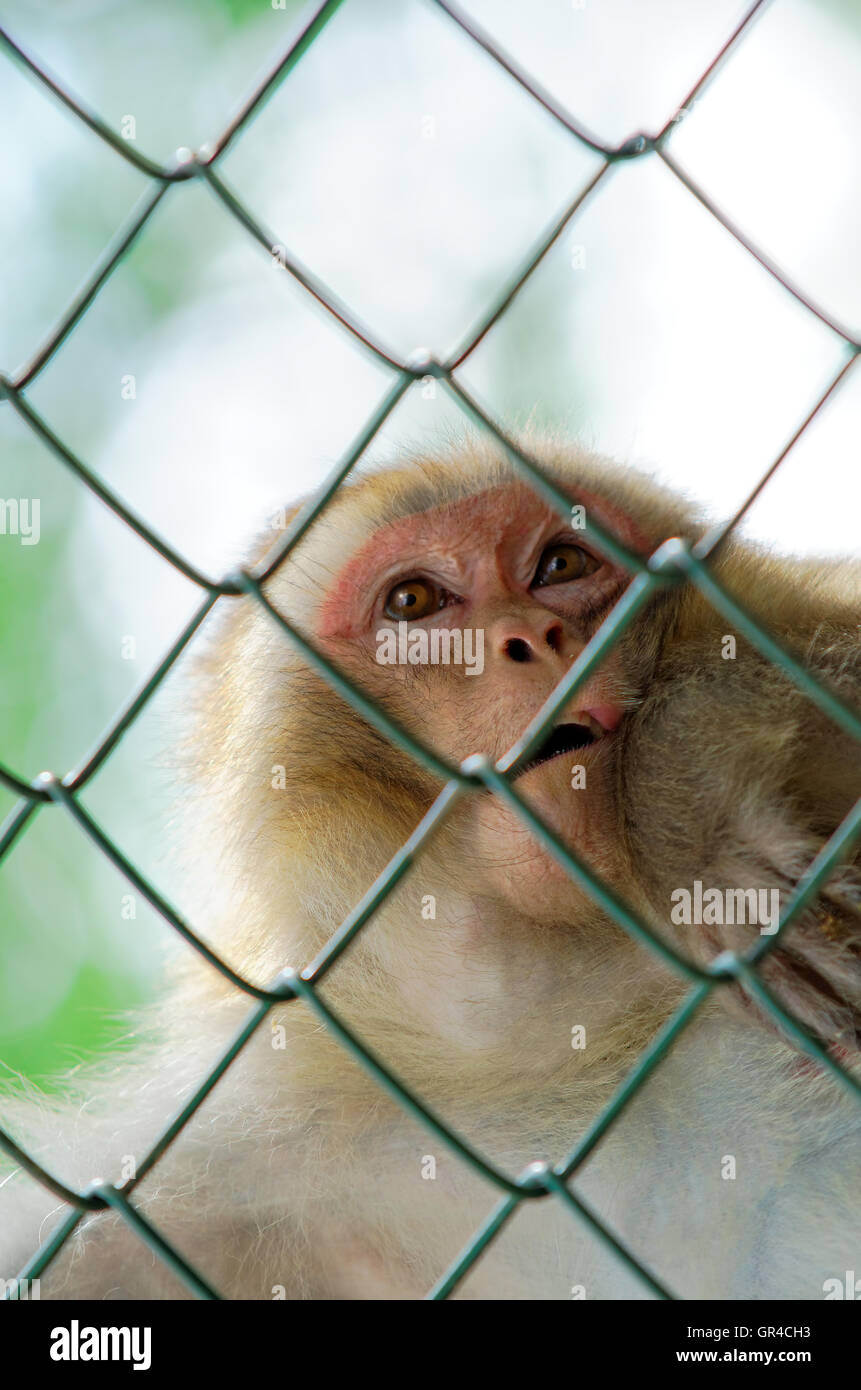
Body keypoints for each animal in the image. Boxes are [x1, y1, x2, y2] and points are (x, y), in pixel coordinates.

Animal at [1, 434, 859, 1301]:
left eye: (559, 563)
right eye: (412, 602)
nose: (532, 637)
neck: (558, 1032)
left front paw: (687, 797)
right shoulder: (198, 1184)